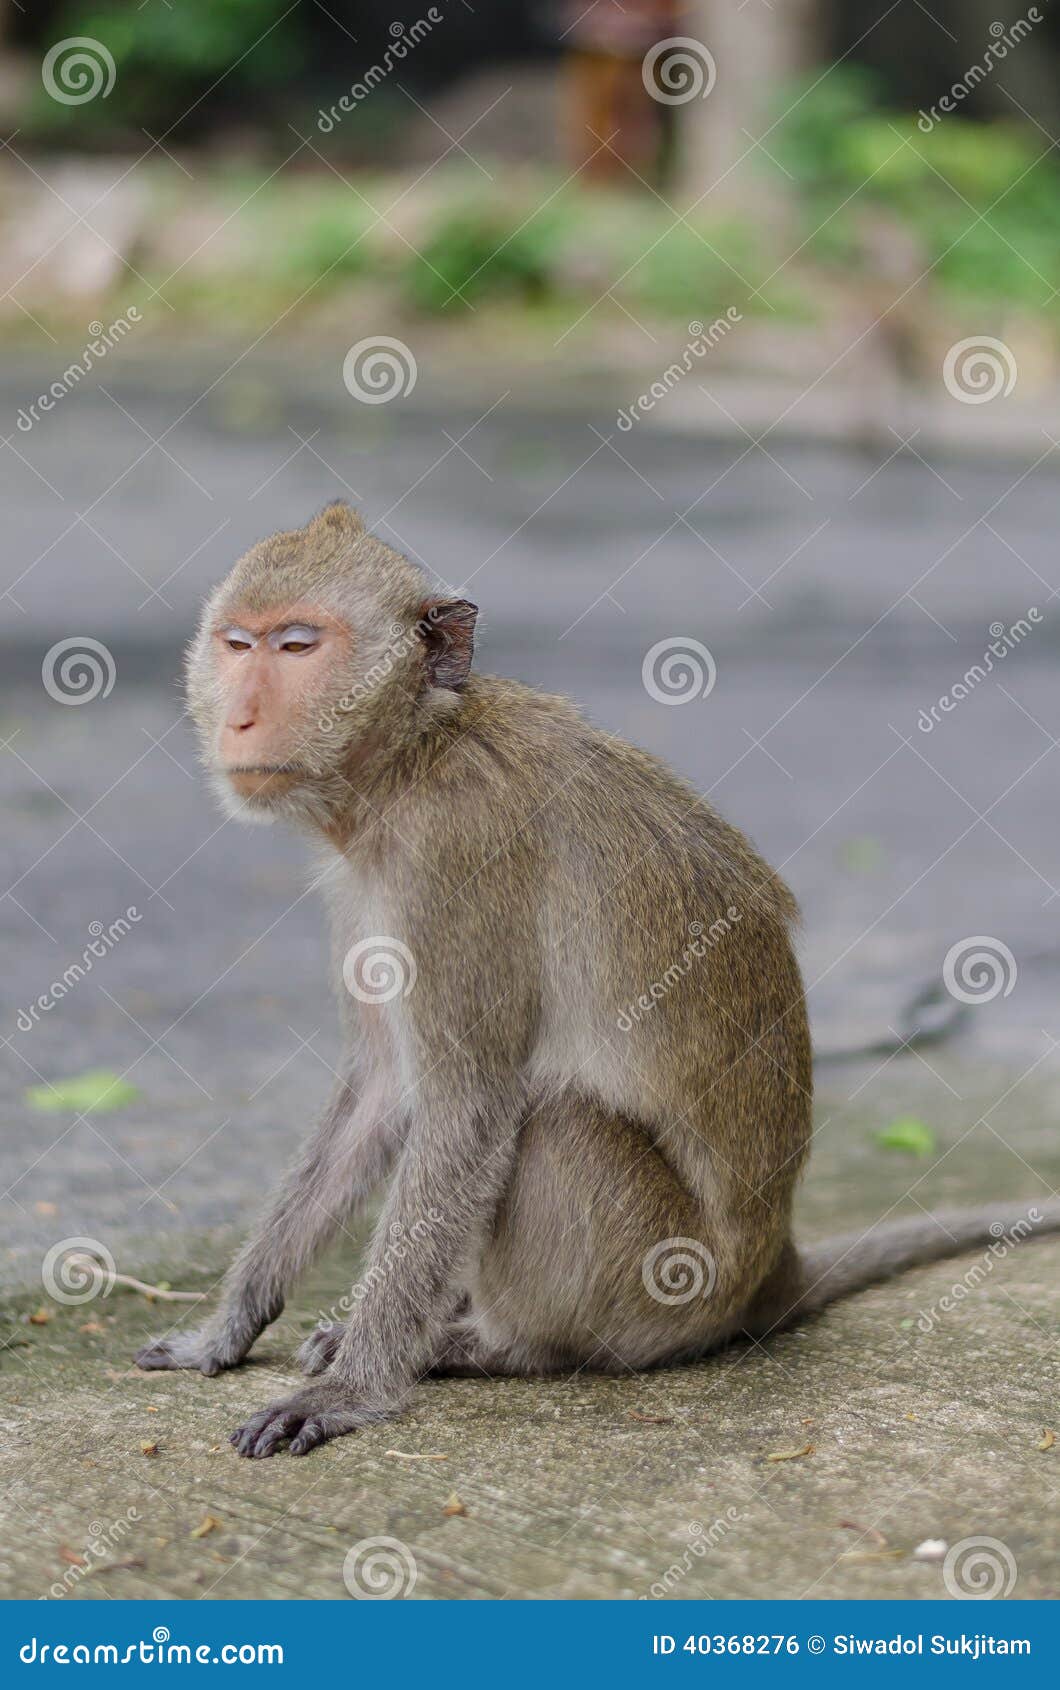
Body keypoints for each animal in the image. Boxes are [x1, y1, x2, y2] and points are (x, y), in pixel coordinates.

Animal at [135, 501, 1060, 1457]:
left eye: (298, 647)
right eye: (237, 644)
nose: (240, 720)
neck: (417, 754)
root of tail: (773, 1264)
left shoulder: (453, 858)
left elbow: (468, 1106)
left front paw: (353, 1386)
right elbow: (385, 1090)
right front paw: (228, 1328)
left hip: (661, 1281)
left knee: (550, 1123)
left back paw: (488, 1344)